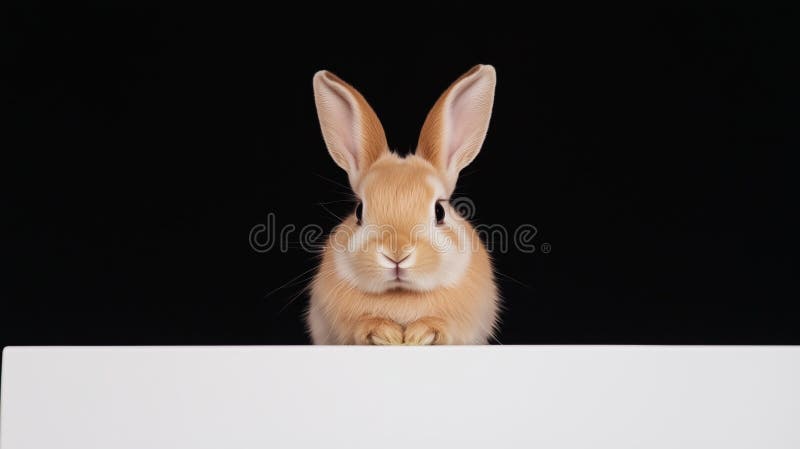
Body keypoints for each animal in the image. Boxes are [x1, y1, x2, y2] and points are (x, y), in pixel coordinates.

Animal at [307, 65, 500, 345]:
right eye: (359, 211)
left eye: (439, 211)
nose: (396, 254)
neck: (400, 294)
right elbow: (360, 324)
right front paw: (386, 333)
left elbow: (445, 325)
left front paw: (420, 334)